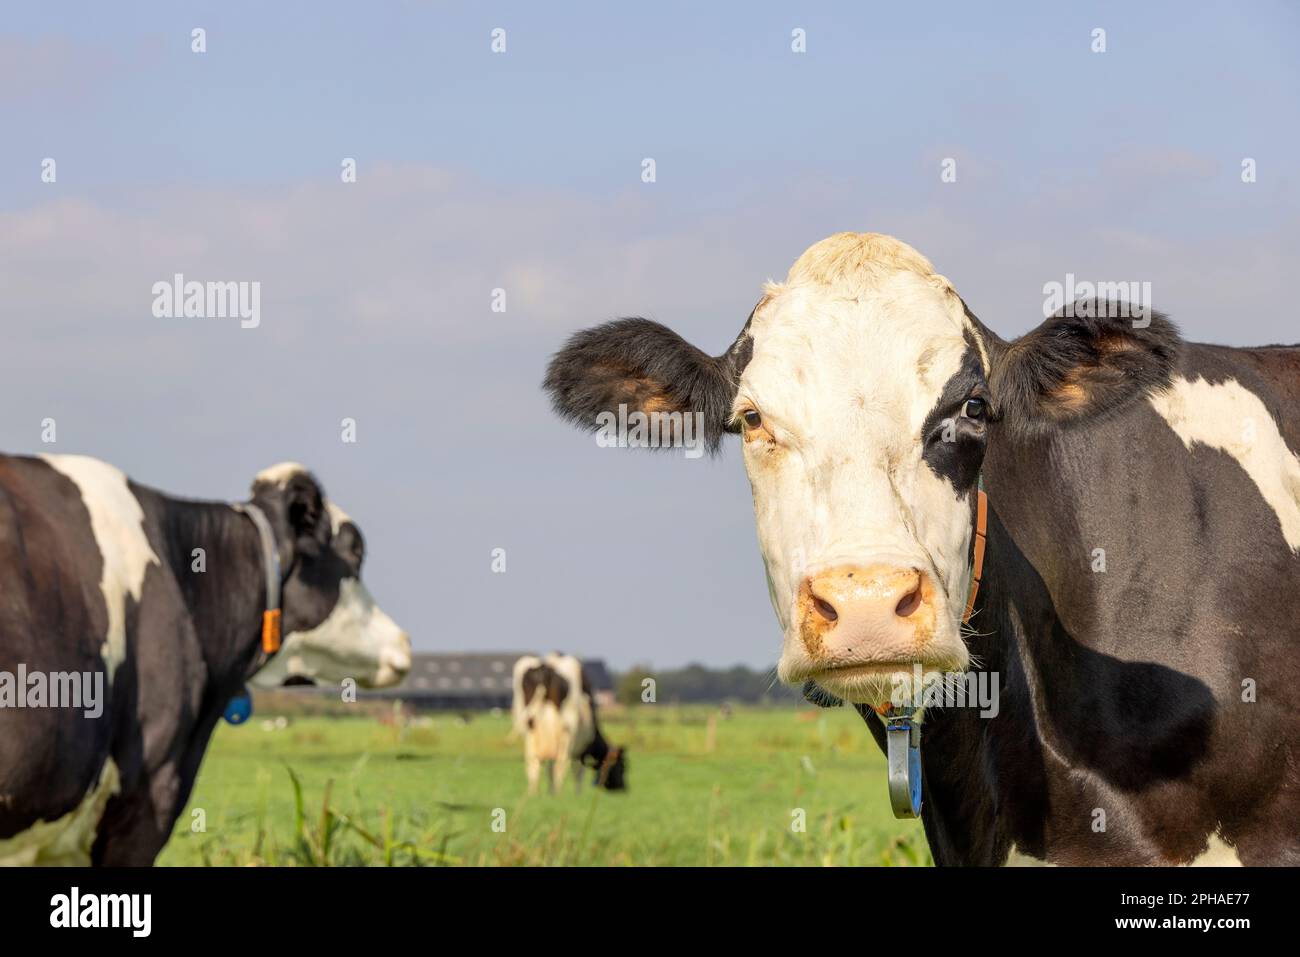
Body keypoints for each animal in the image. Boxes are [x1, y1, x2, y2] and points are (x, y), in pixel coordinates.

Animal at [511, 653, 626, 794]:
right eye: (622, 767)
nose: (623, 788)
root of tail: (547, 667)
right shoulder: (582, 747)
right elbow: (578, 770)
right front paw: (577, 794)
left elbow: (550, 768)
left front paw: (550, 793)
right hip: (568, 731)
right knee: (560, 764)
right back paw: (559, 795)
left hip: (530, 729)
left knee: (533, 763)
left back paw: (534, 794)